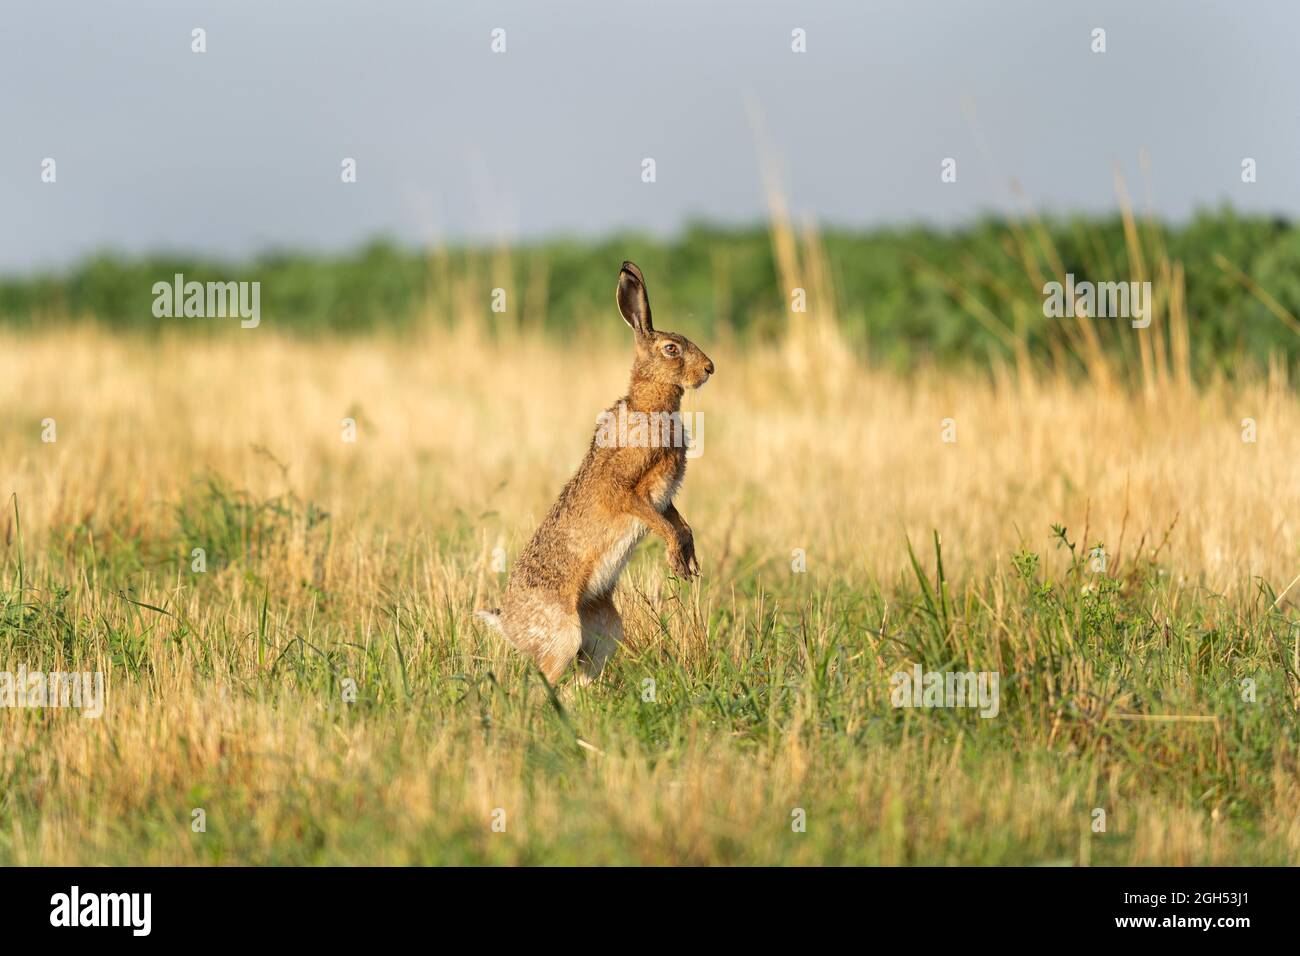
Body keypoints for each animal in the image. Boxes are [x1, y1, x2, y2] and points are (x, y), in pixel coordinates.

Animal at [477, 261, 714, 685]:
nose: (709, 369)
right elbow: (661, 523)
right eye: (671, 349)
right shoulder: (623, 489)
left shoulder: (664, 496)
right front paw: (675, 560)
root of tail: (506, 624)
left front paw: (689, 562)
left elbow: (679, 523)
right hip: (562, 635)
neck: (648, 406)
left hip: (605, 630)